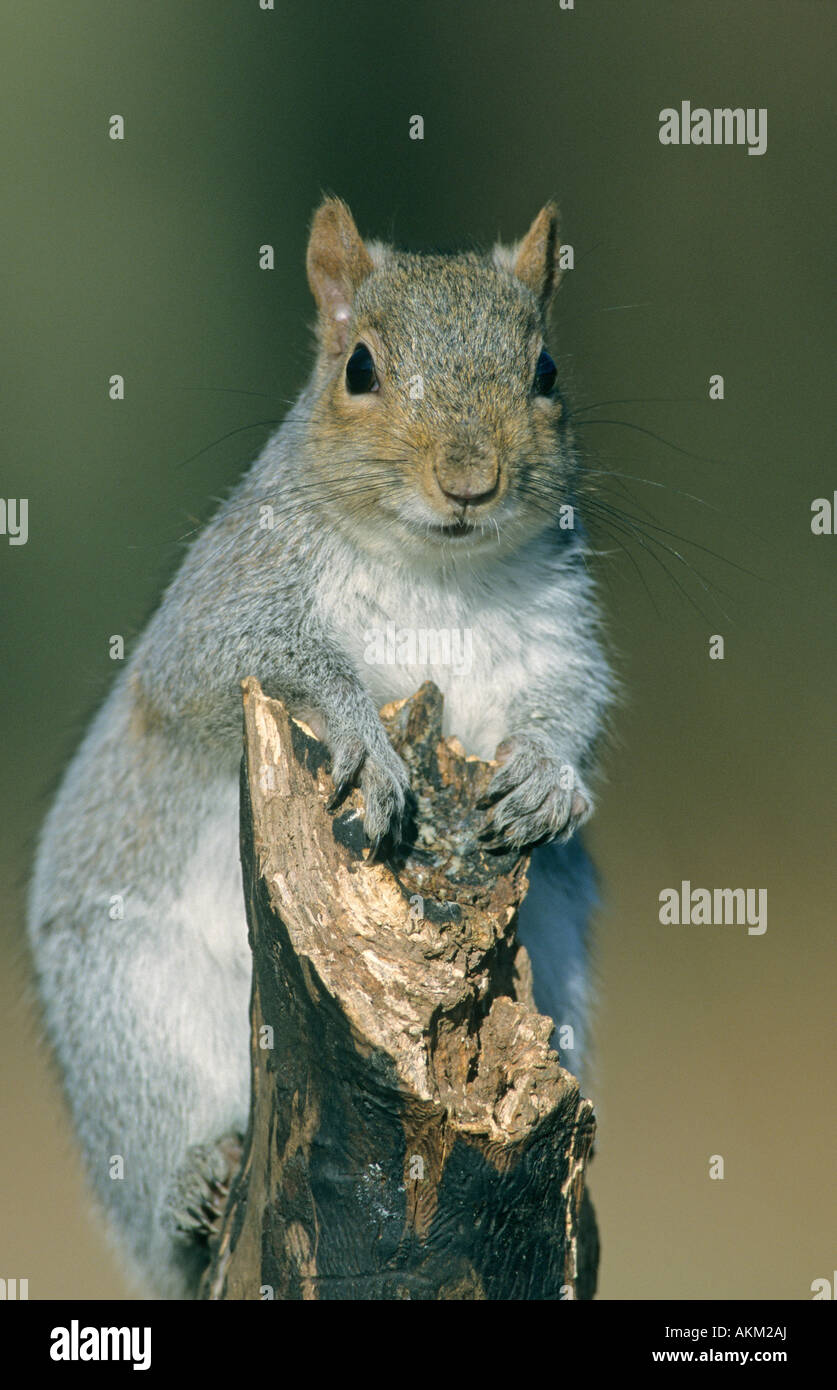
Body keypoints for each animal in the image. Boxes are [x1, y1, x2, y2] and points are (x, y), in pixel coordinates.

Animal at [28, 198, 614, 1298]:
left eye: (547, 371)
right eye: (360, 368)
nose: (469, 481)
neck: (437, 571)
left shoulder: (561, 630)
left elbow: (575, 707)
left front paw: (548, 777)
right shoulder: (225, 602)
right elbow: (250, 667)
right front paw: (363, 741)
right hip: (124, 1022)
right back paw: (195, 1180)